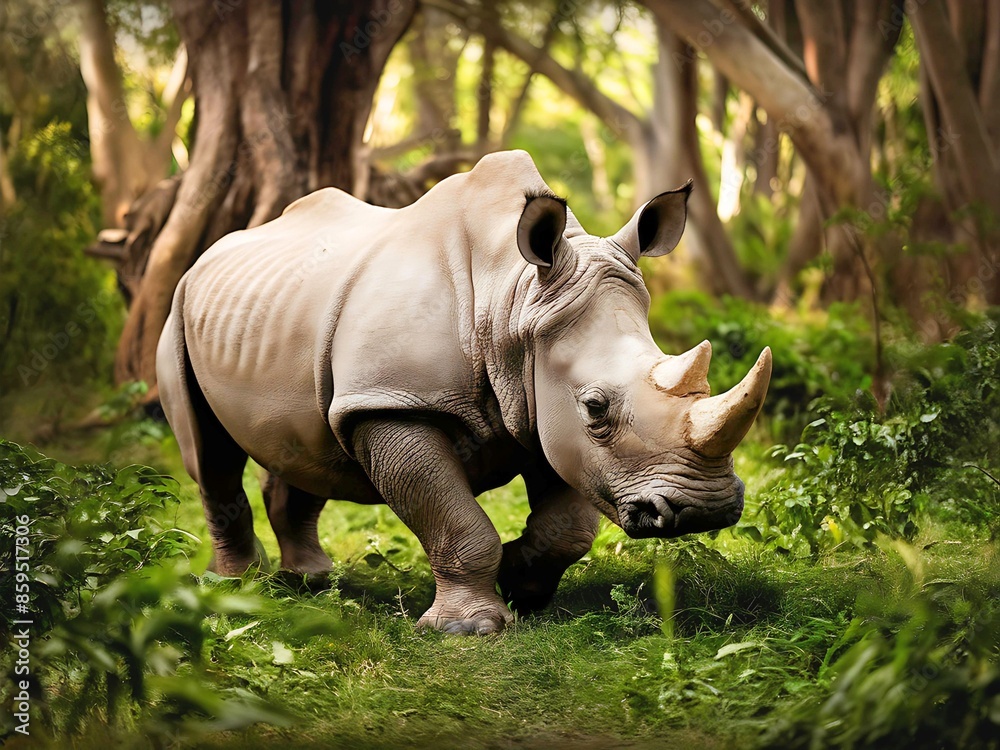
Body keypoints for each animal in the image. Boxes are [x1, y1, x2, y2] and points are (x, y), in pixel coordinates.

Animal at [156, 150, 771, 635]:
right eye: (595, 408)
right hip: (179, 309)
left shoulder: (540, 401)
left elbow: (568, 525)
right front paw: (467, 629)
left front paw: (523, 585)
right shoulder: (391, 402)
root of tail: (214, 250)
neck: (514, 303)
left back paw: (311, 580)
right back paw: (238, 588)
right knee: (210, 455)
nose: (706, 510)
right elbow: (454, 519)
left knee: (308, 440)